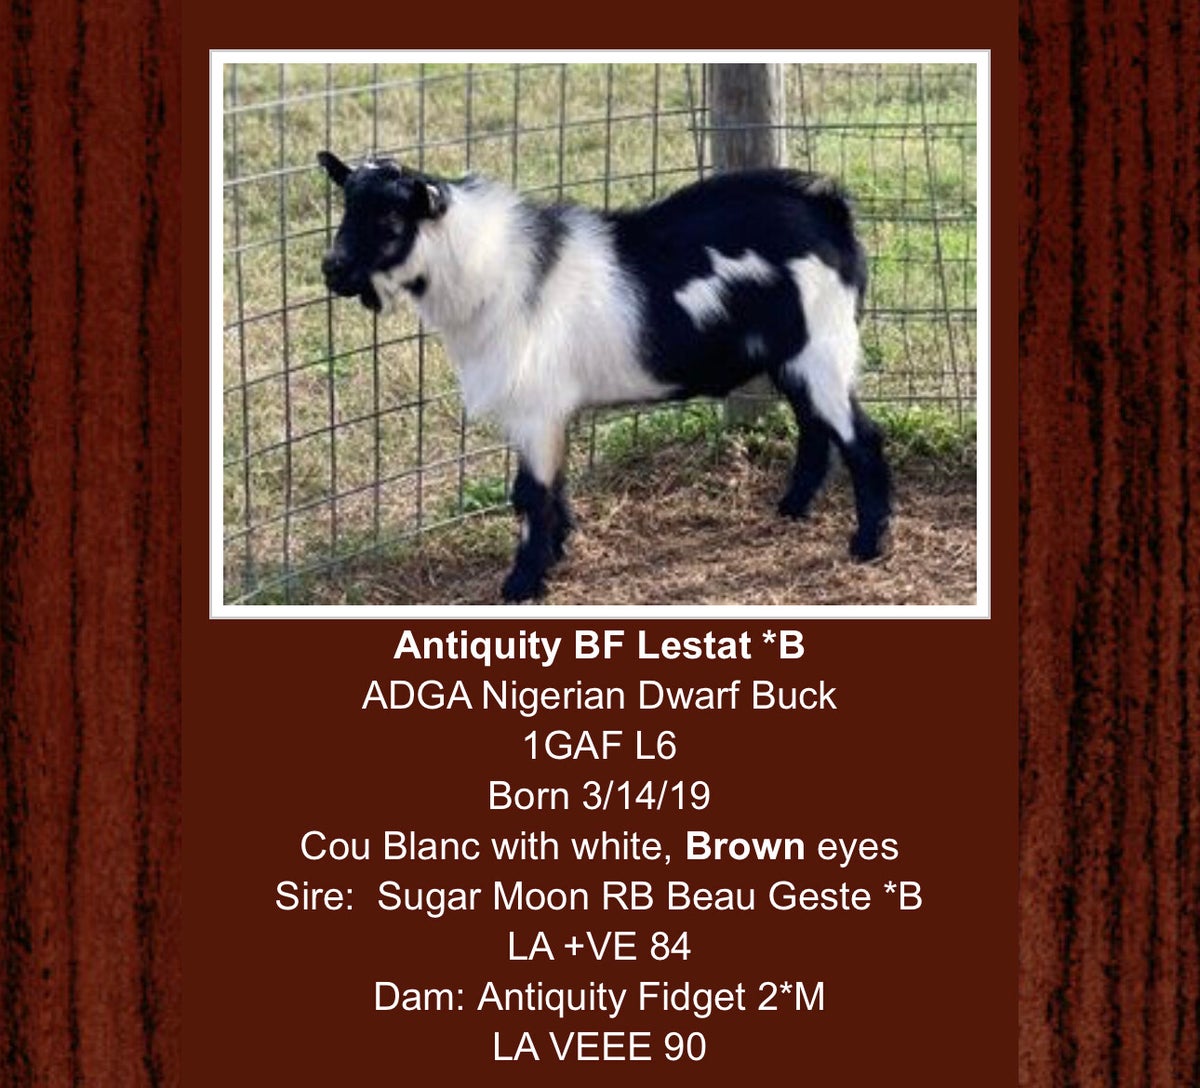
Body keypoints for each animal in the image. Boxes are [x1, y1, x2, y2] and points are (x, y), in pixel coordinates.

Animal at [317, 151, 891, 602]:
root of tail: (830, 212)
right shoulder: (549, 413)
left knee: (860, 438)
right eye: (346, 207)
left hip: (822, 347)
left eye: (390, 221)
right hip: (793, 357)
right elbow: (553, 486)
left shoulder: (535, 409)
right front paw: (557, 552)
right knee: (814, 426)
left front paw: (523, 583)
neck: (495, 274)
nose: (332, 268)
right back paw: (793, 507)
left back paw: (869, 543)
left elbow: (530, 494)